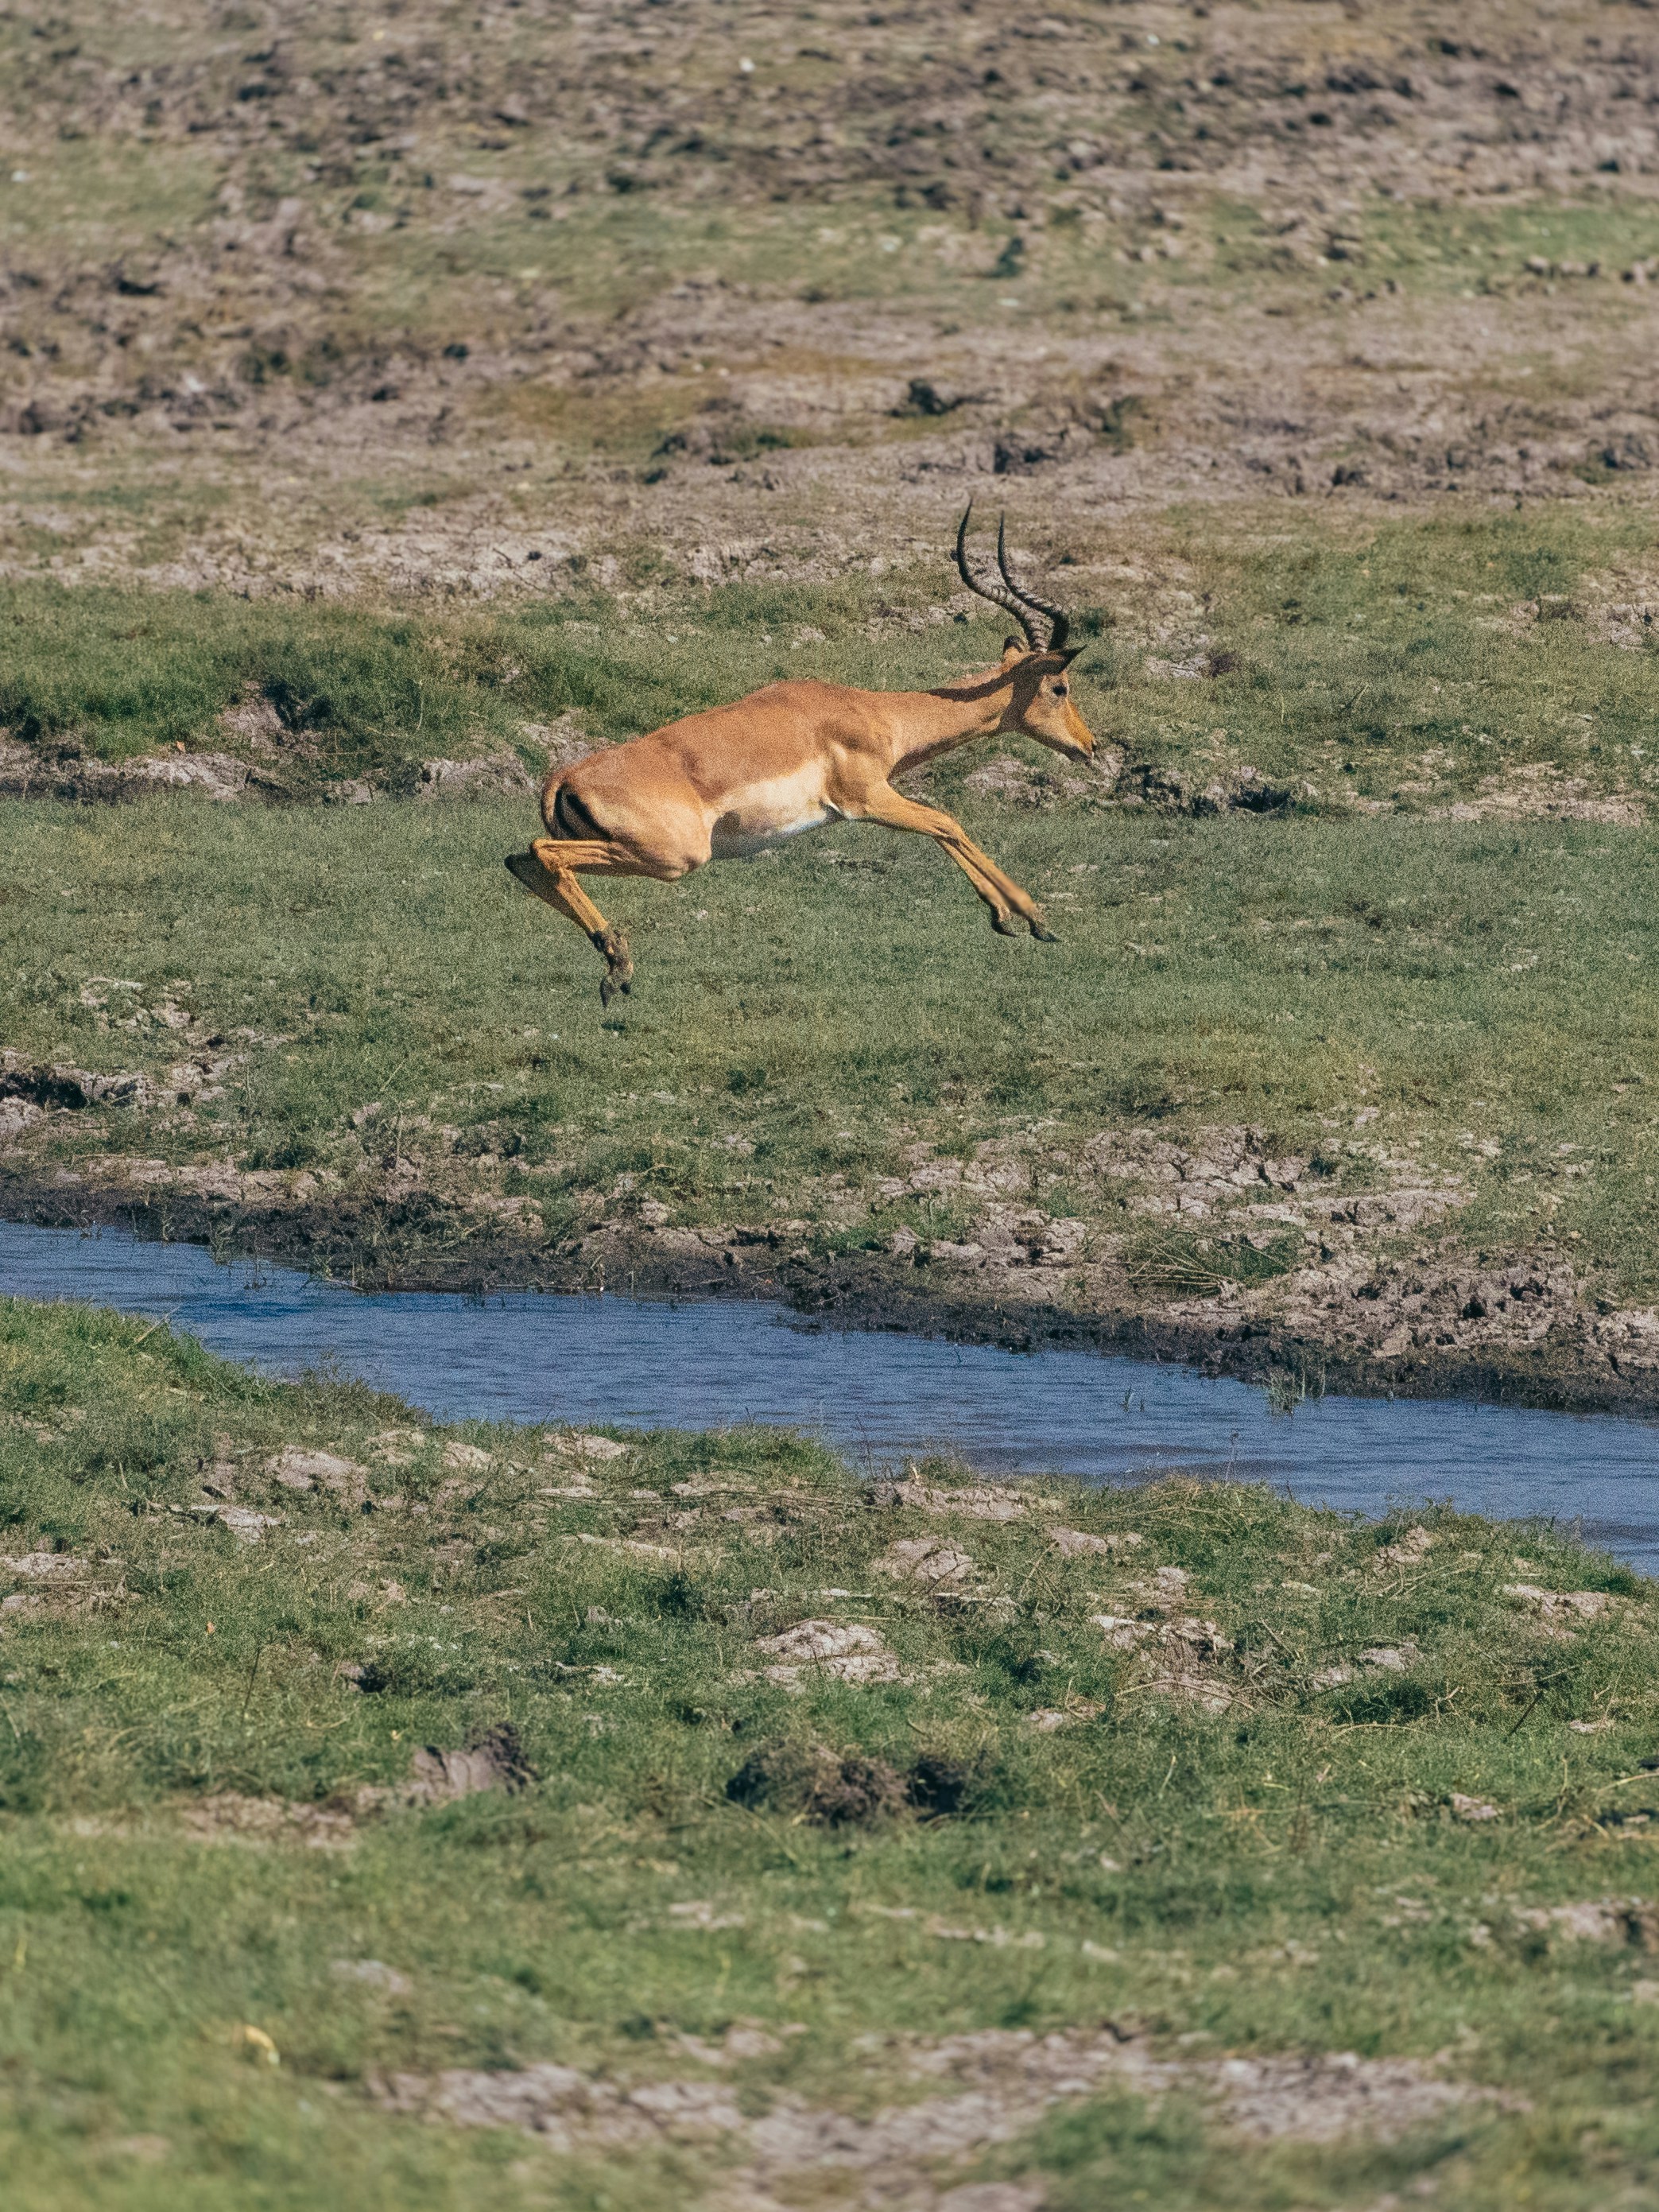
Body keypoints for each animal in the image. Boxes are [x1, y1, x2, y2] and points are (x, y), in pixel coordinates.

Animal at [504, 505, 1097, 1003]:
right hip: (674, 858)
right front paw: (1031, 918)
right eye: (1059, 687)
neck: (874, 713)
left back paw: (614, 967)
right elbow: (946, 822)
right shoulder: (867, 800)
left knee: (522, 859)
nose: (1089, 747)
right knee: (542, 853)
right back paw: (617, 965)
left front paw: (1012, 918)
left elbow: (943, 827)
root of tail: (565, 776)